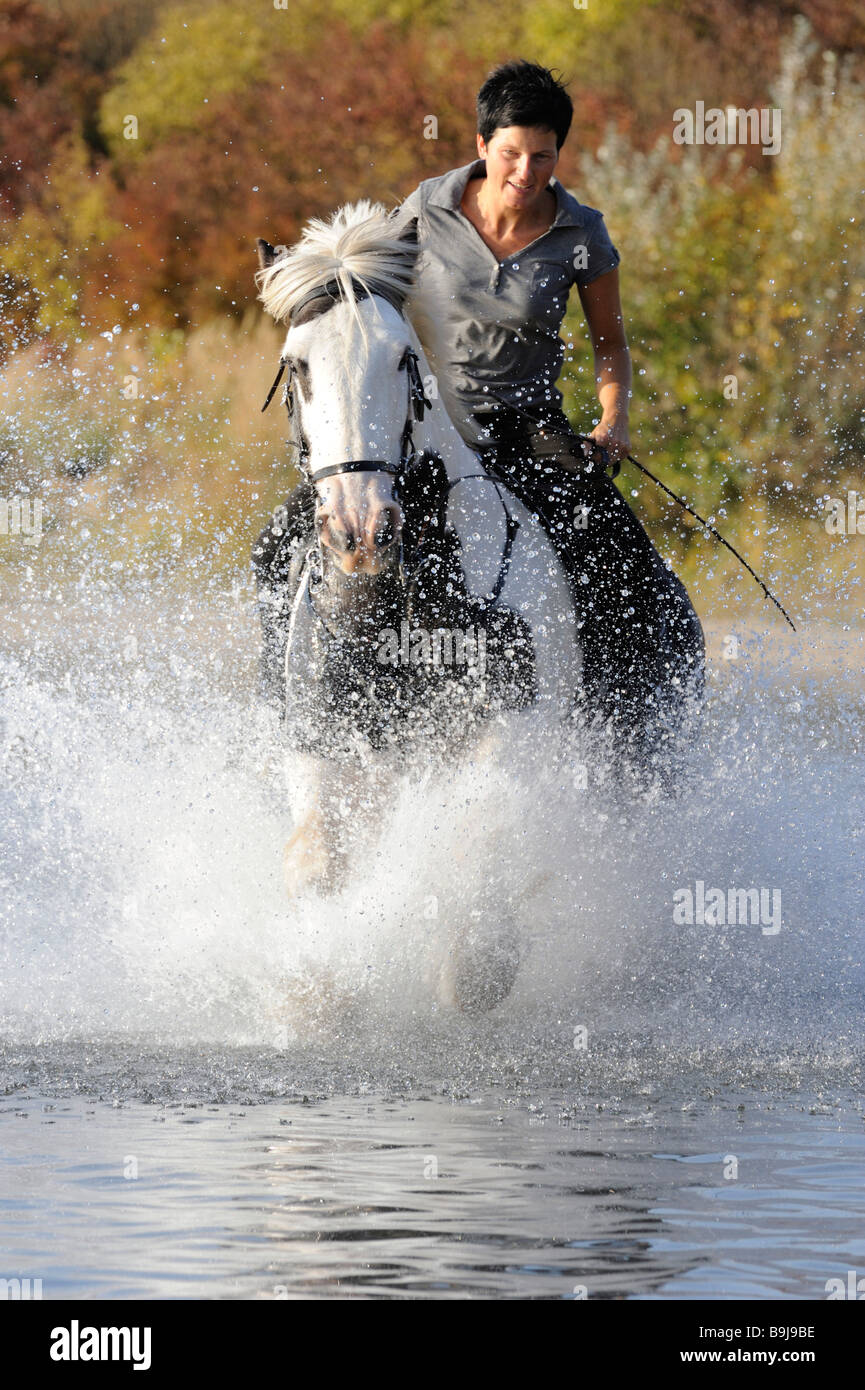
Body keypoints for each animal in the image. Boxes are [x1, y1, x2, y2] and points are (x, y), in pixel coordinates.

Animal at [254, 200, 704, 1012]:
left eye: (403, 358)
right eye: (298, 364)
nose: (359, 533)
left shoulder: (511, 733)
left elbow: (482, 834)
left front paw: (476, 967)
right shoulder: (324, 739)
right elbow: (317, 861)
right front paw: (316, 992)